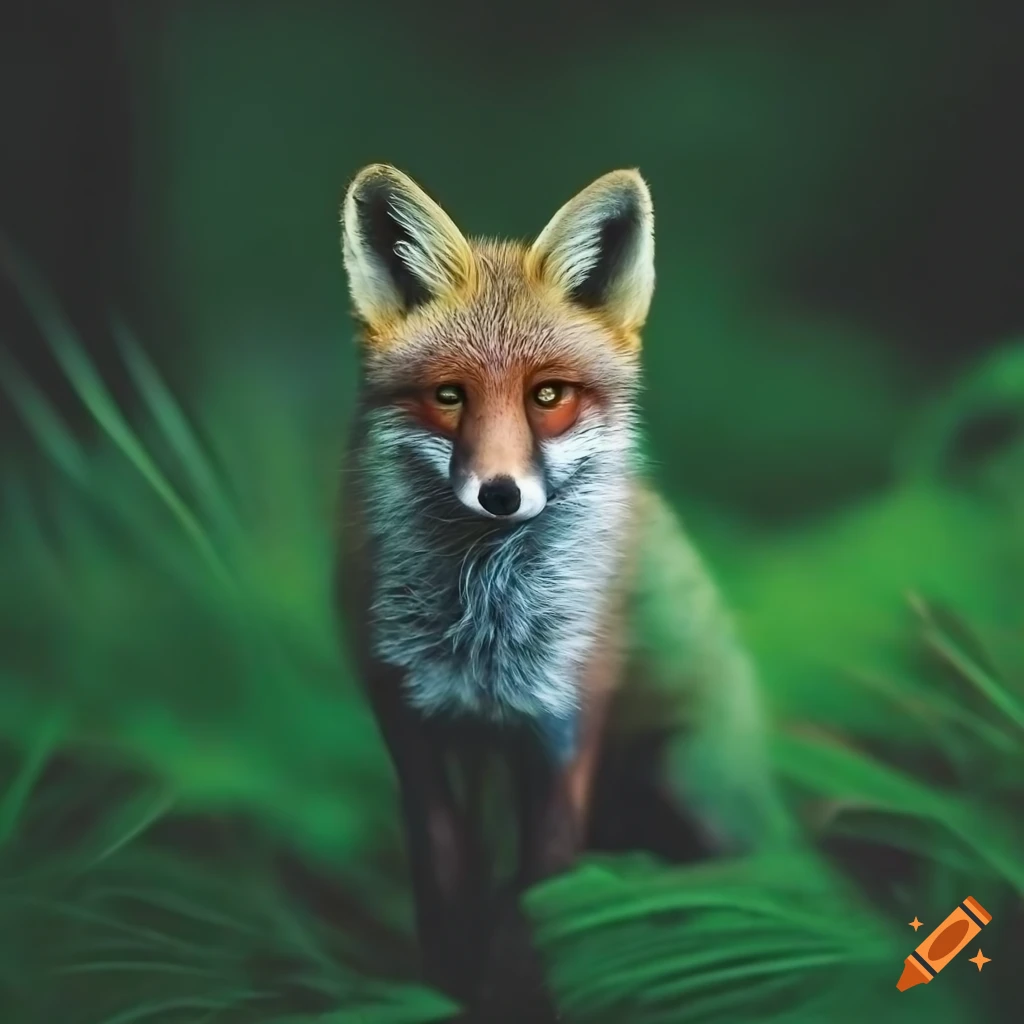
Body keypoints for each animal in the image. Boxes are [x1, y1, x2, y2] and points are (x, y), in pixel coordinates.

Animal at [334, 164, 791, 1017]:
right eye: (449, 396)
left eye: (548, 396)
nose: (500, 494)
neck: (481, 630)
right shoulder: (408, 726)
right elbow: (446, 891)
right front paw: (447, 995)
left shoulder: (563, 724)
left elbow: (541, 903)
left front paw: (520, 996)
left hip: (689, 781)